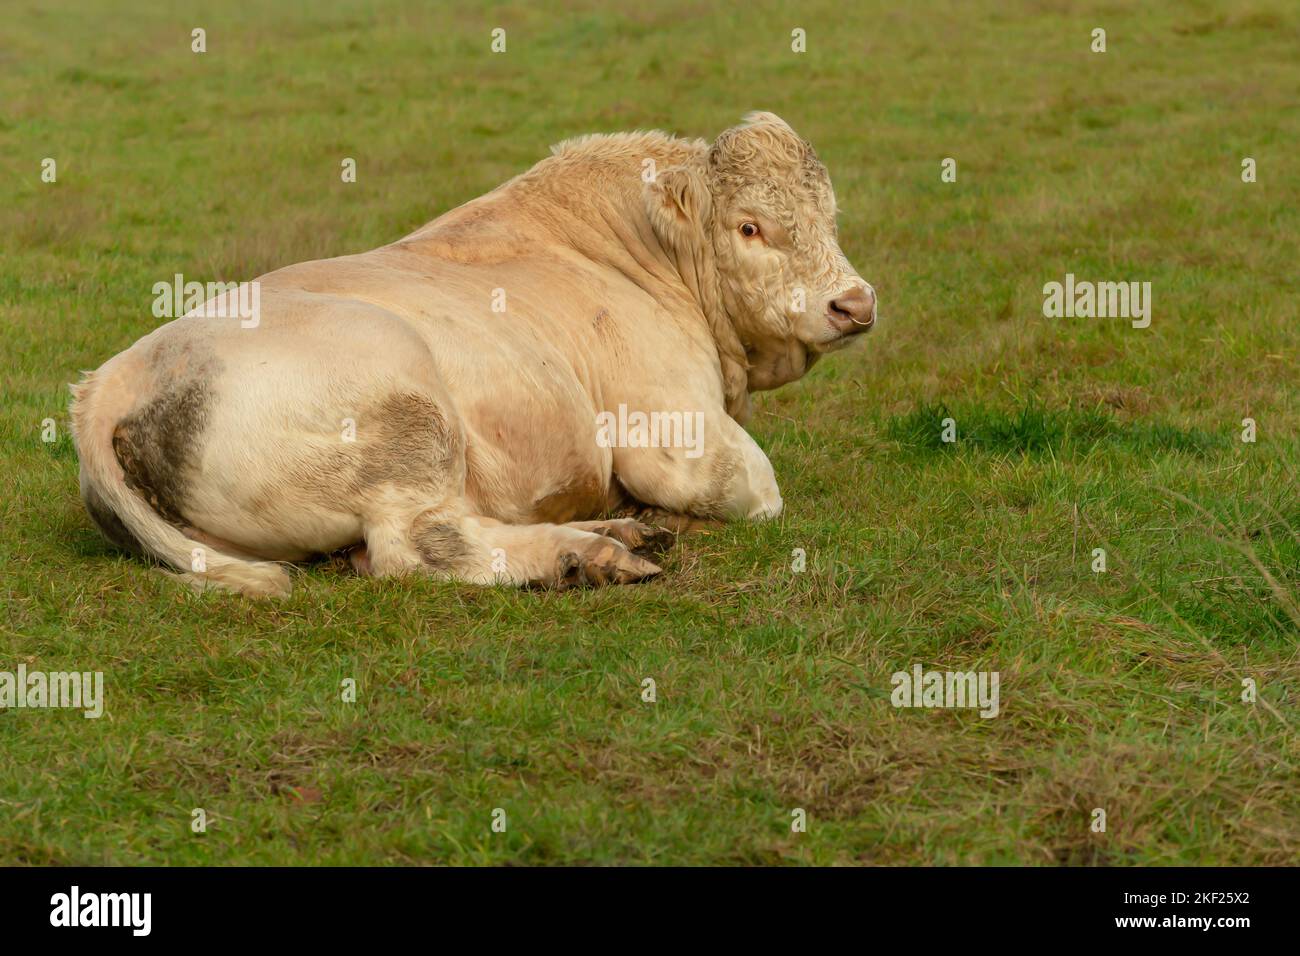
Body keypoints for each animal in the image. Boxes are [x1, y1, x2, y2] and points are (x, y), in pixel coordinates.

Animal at [70, 111, 877, 597]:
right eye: (750, 227)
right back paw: (589, 553)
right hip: (408, 413)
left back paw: (612, 531)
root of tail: (112, 380)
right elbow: (760, 493)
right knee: (413, 547)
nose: (855, 303)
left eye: (831, 218)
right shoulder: (681, 439)